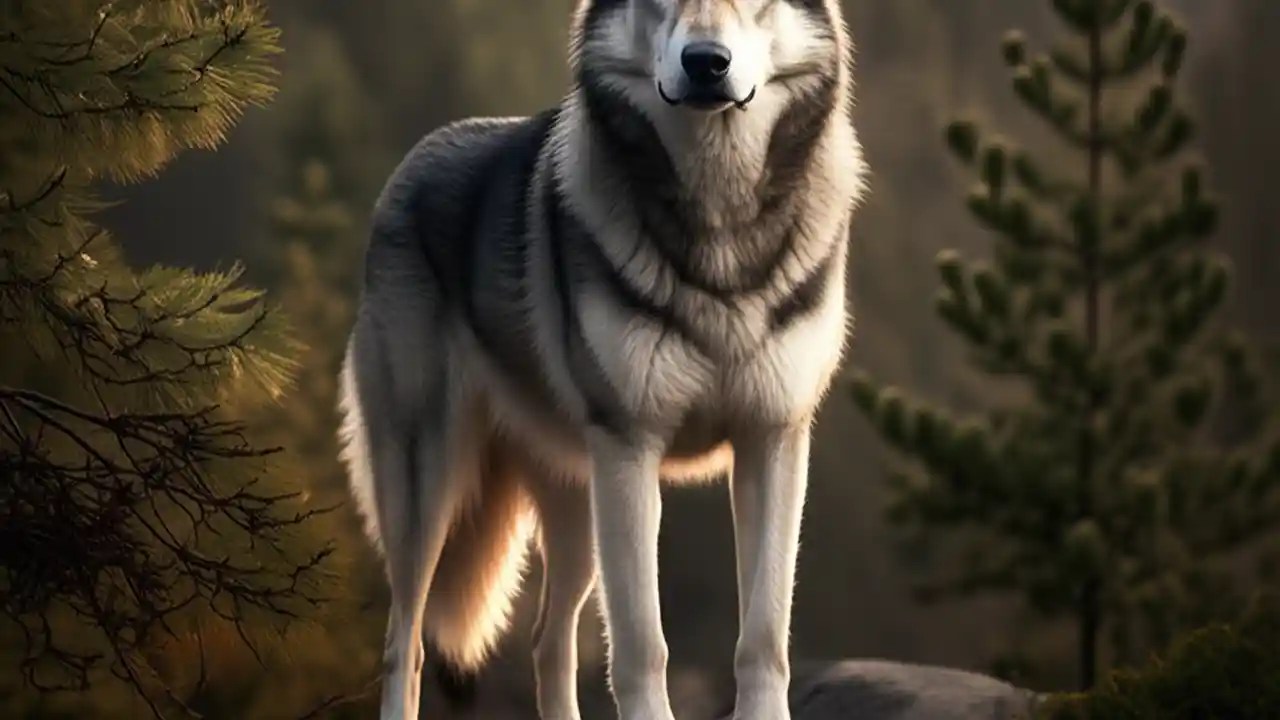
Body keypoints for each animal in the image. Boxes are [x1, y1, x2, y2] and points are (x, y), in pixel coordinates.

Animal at [337, 0, 866, 718]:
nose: (706, 62)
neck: (719, 230)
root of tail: (412, 162)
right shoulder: (631, 448)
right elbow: (643, 646)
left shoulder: (774, 440)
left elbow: (762, 639)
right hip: (432, 490)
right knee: (405, 643)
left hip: (579, 510)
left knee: (547, 642)